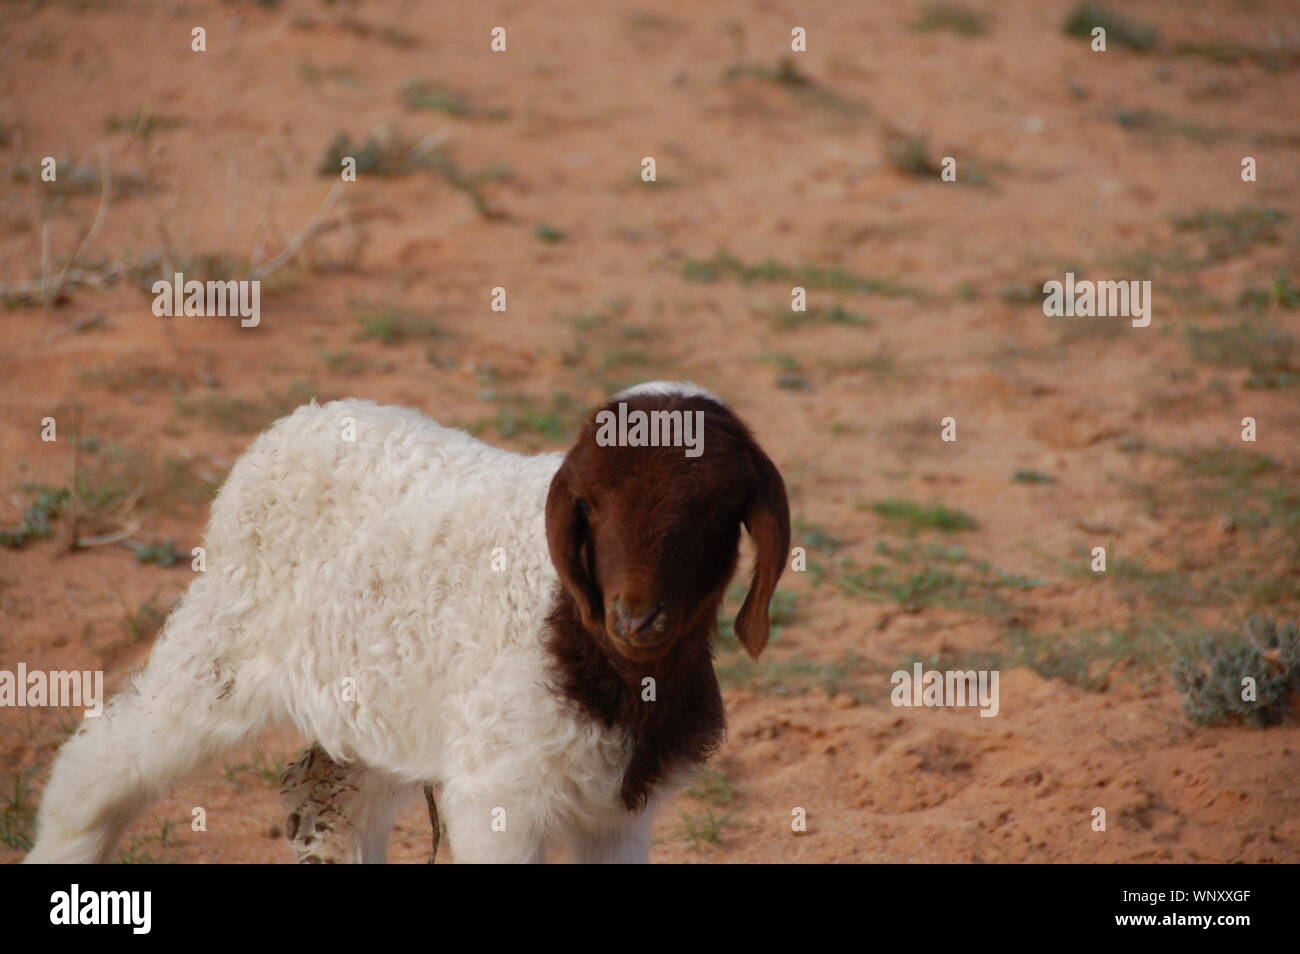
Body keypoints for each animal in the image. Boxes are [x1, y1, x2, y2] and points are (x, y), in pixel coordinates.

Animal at [25, 381, 790, 864]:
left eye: (716, 512)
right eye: (591, 510)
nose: (636, 616)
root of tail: (300, 420)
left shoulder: (618, 813)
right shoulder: (499, 792)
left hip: (379, 697)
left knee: (330, 798)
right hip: (225, 637)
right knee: (103, 756)